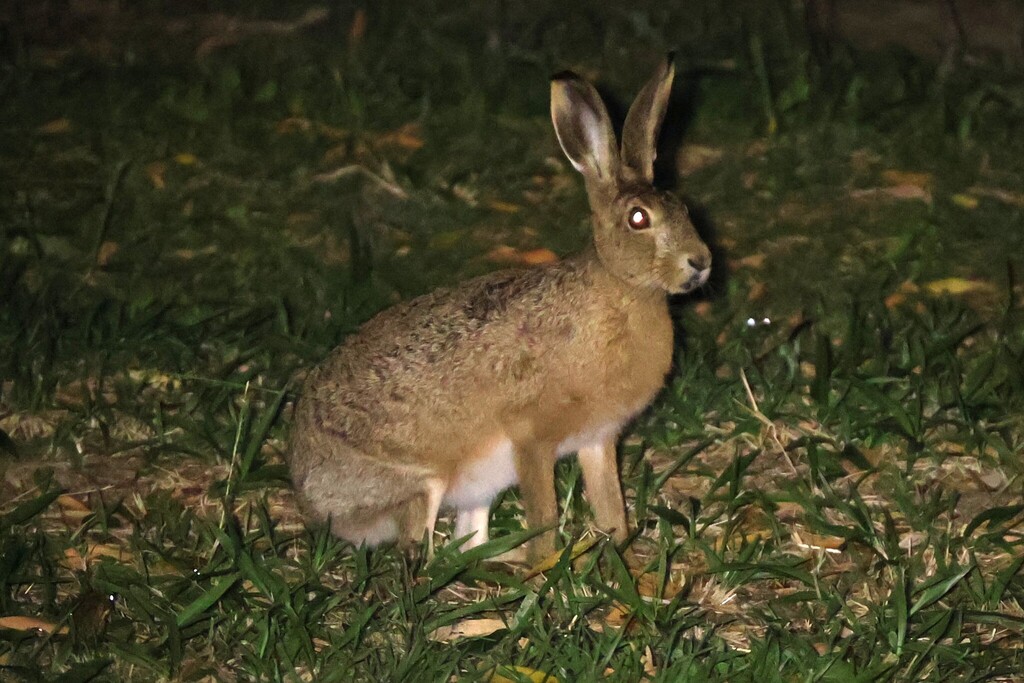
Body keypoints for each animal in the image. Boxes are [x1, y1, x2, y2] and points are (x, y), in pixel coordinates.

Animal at [286, 55, 711, 562]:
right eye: (638, 219)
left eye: (684, 208)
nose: (701, 262)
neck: (623, 291)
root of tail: (311, 497)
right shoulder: (532, 436)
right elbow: (544, 515)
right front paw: (547, 562)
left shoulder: (597, 439)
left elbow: (611, 506)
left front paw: (617, 551)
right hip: (420, 484)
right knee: (423, 553)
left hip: (478, 489)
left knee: (468, 542)